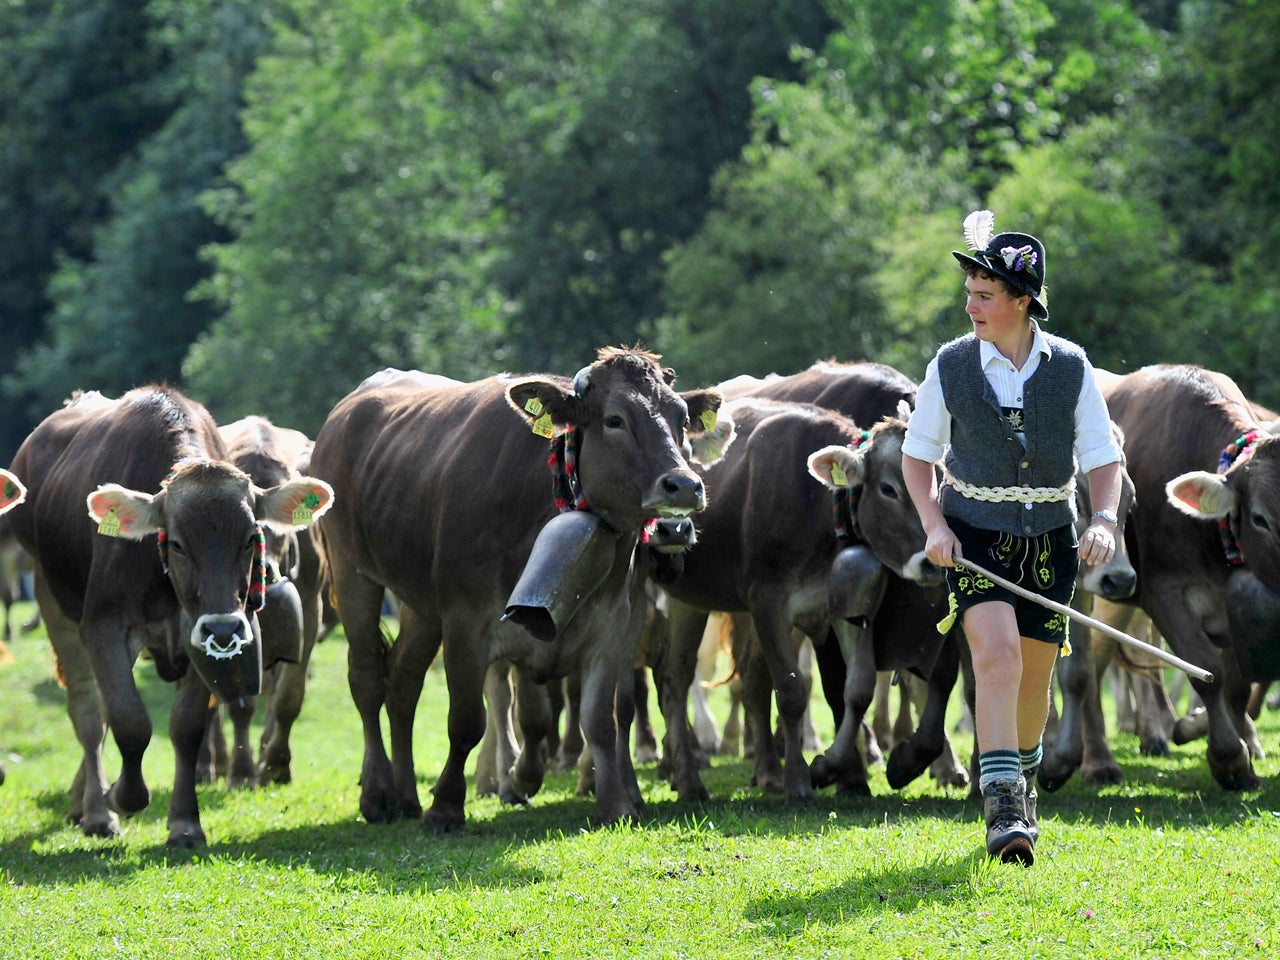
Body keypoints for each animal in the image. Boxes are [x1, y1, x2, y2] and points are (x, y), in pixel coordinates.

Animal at [7, 386, 333, 846]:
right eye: (177, 543)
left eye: (250, 537)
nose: (224, 626)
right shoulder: (104, 626)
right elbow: (128, 719)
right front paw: (120, 796)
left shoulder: (201, 635)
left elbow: (186, 726)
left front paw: (184, 823)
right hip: (52, 599)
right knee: (88, 711)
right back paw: (94, 810)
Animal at [308, 348, 723, 829]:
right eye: (614, 419)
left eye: (681, 419)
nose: (685, 486)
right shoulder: (466, 622)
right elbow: (469, 720)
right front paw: (448, 805)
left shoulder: (610, 625)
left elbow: (598, 719)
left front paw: (613, 803)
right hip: (353, 575)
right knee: (368, 679)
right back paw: (378, 793)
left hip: (419, 605)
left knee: (403, 683)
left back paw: (407, 794)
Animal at [654, 392, 938, 802]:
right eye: (889, 489)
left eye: (939, 477)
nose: (932, 562)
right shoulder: (767, 602)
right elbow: (791, 690)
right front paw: (800, 782)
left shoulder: (843, 605)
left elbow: (857, 689)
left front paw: (829, 767)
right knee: (671, 680)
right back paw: (689, 779)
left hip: (695, 600)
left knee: (716, 680)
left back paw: (754, 773)